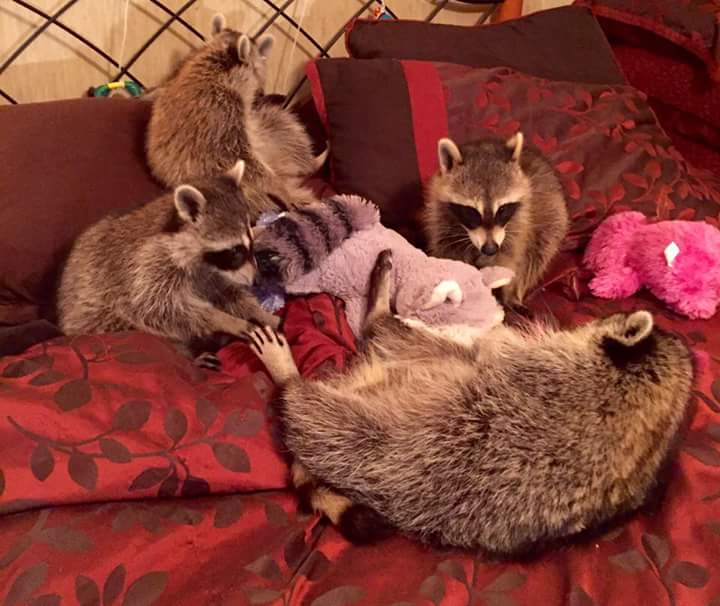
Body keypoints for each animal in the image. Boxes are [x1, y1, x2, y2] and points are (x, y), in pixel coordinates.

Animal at [57, 161, 278, 357]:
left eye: (250, 242)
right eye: (234, 250)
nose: (257, 280)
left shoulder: (209, 273)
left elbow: (225, 292)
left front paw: (257, 312)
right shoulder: (147, 269)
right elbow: (159, 310)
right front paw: (222, 319)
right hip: (99, 320)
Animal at [145, 14, 326, 216]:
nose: (262, 90)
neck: (218, 57)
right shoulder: (221, 110)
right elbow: (239, 158)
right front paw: (275, 185)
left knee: (282, 124)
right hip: (254, 196)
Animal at [245, 250, 694, 558]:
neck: (649, 415)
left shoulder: (544, 370)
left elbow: (485, 353)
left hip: (363, 433)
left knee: (369, 362)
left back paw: (299, 369)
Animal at [424, 133, 568, 308]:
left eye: (502, 210)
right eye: (472, 212)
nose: (490, 249)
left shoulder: (520, 222)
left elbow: (510, 258)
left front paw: (507, 290)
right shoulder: (441, 218)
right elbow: (448, 252)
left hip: (552, 212)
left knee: (539, 251)